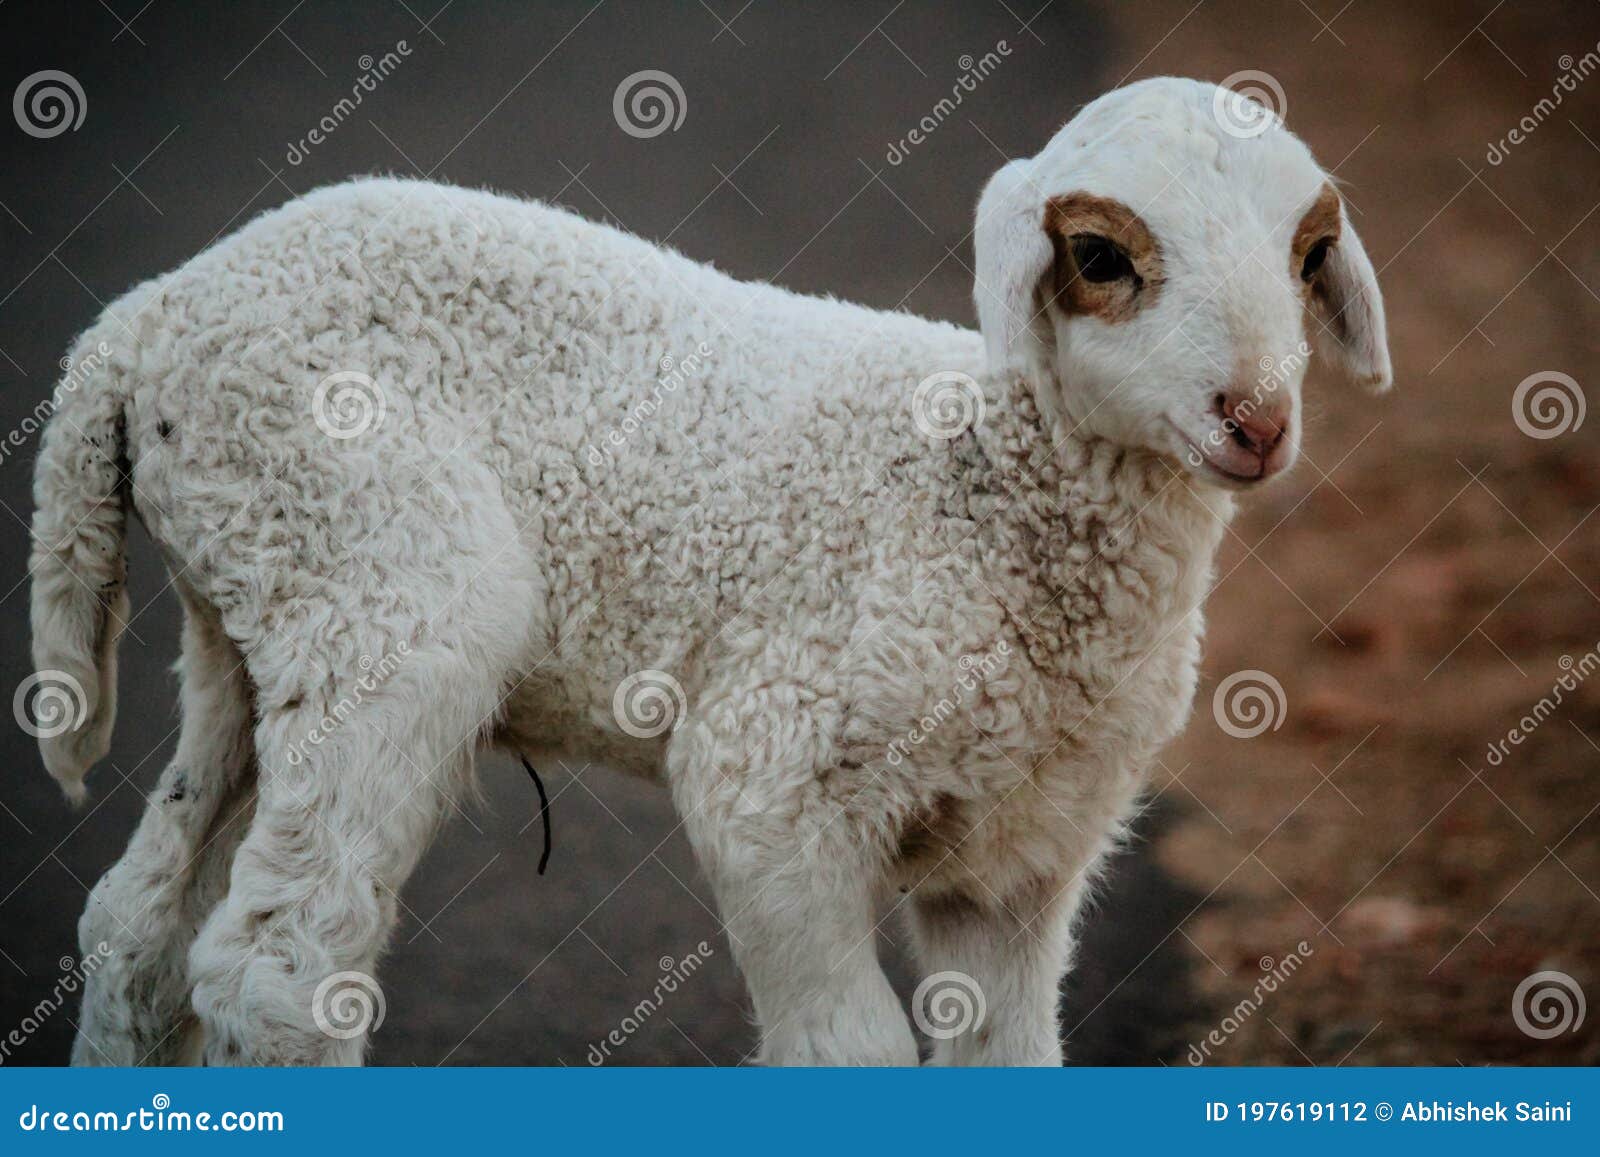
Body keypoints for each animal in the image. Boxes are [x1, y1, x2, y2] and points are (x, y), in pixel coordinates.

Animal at [28, 76, 1390, 1067]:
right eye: (1101, 257)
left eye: (1307, 254)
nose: (1256, 420)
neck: (978, 492)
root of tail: (140, 325)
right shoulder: (772, 775)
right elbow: (849, 1052)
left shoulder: (1020, 850)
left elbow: (1004, 1057)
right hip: (371, 572)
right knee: (276, 971)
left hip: (248, 606)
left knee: (140, 922)